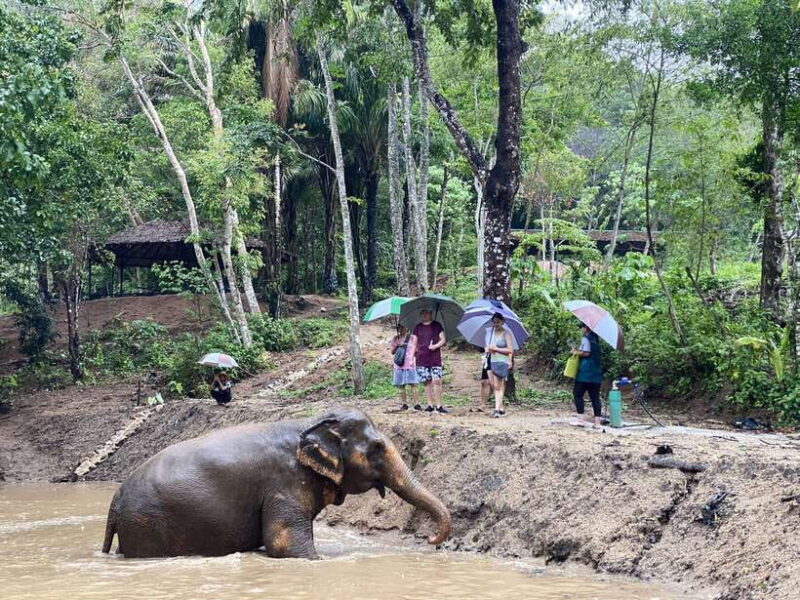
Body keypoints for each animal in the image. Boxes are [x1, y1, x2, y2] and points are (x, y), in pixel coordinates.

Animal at [101, 407, 450, 559]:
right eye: (377, 448)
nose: (430, 540)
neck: (310, 422)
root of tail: (114, 502)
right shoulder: (284, 482)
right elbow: (285, 544)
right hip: (147, 526)